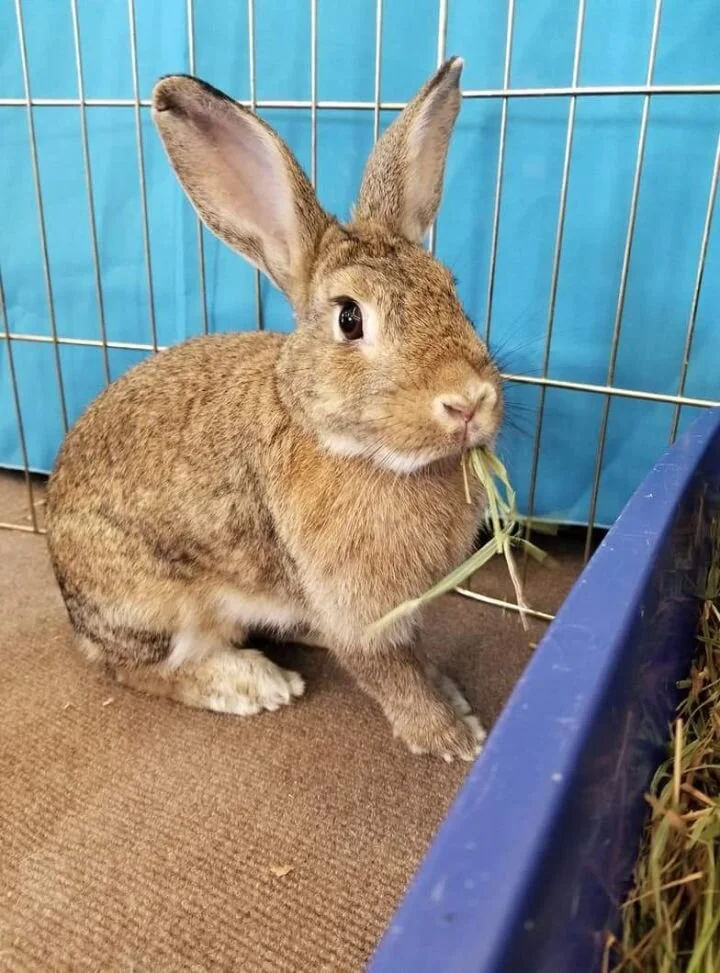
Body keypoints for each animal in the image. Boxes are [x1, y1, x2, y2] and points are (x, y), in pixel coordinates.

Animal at [45, 56, 503, 762]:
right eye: (350, 318)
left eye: (453, 292)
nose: (469, 402)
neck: (345, 443)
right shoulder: (356, 612)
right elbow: (392, 676)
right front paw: (451, 737)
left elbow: (415, 658)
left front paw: (451, 698)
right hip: (149, 607)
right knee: (136, 669)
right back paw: (249, 684)